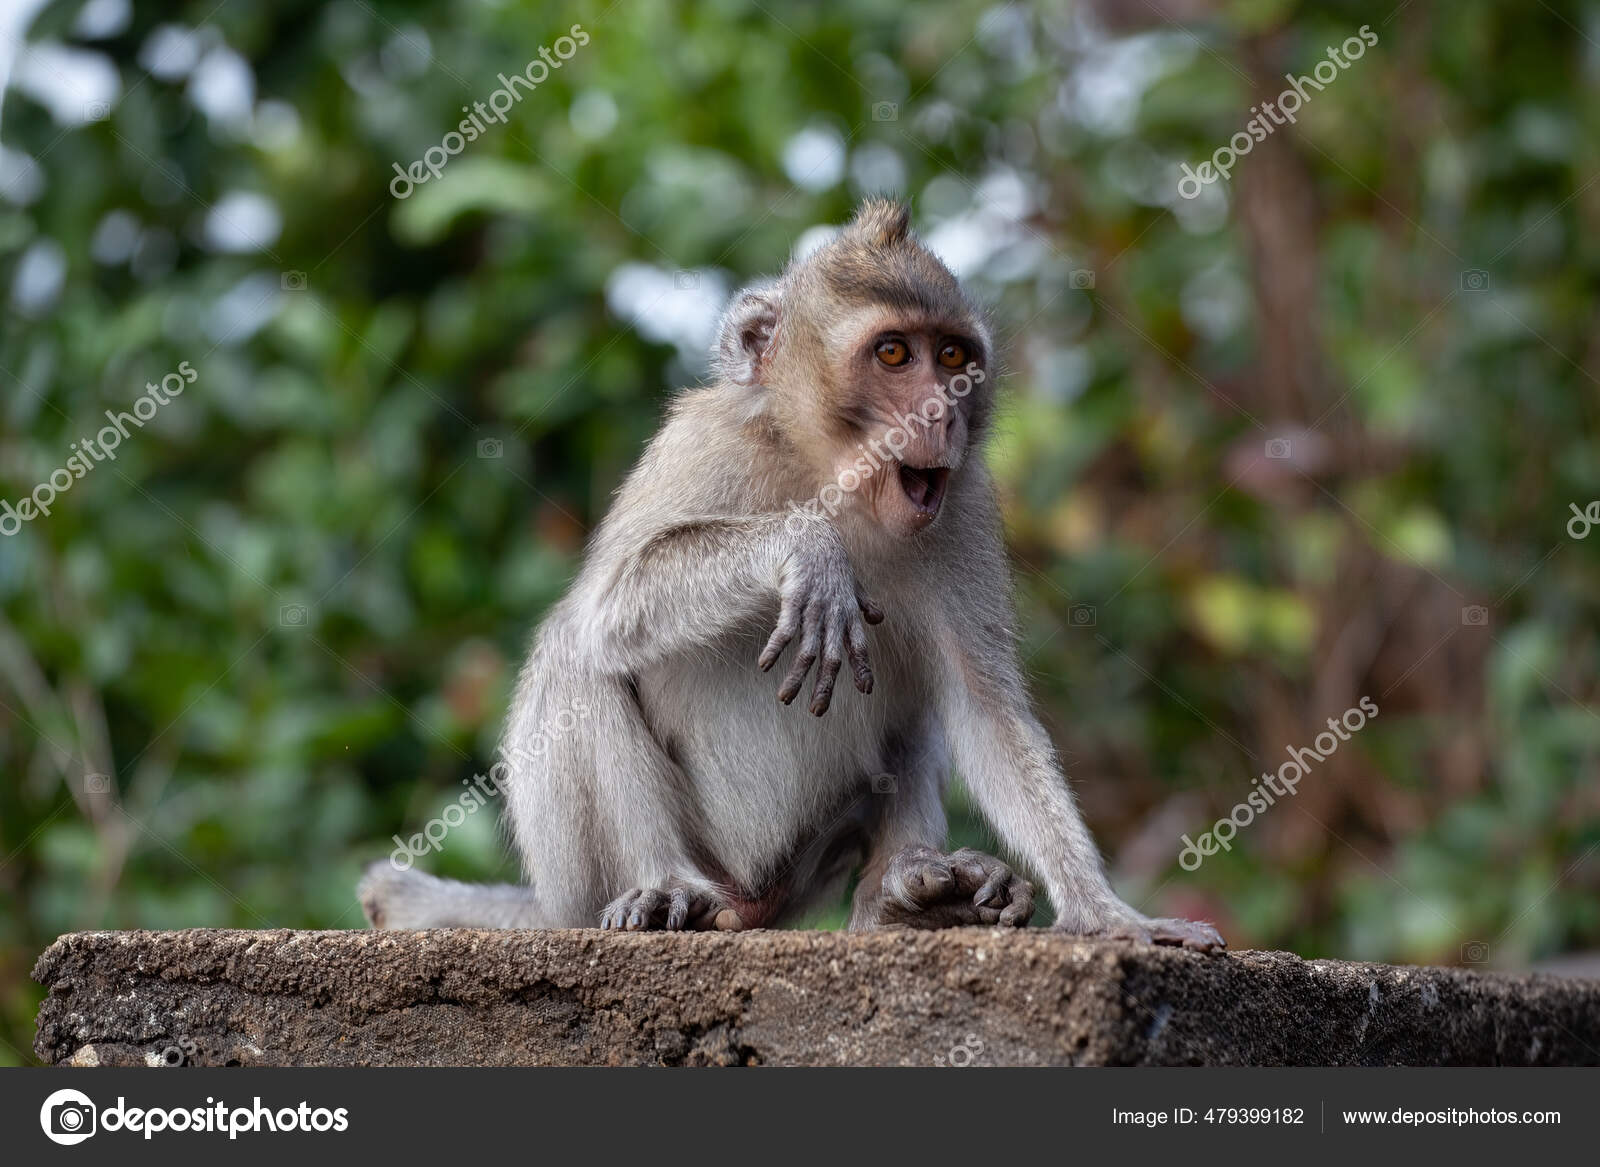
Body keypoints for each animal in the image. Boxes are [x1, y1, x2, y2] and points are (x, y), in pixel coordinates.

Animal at [359, 198, 1223, 950]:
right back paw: (664, 885)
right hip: (600, 880)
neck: (828, 473)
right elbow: (610, 601)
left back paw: (903, 897)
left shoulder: (966, 506)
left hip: (804, 869)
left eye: (952, 357)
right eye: (893, 353)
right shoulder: (702, 443)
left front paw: (1104, 911)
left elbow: (983, 704)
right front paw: (807, 551)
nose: (942, 410)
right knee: (578, 651)